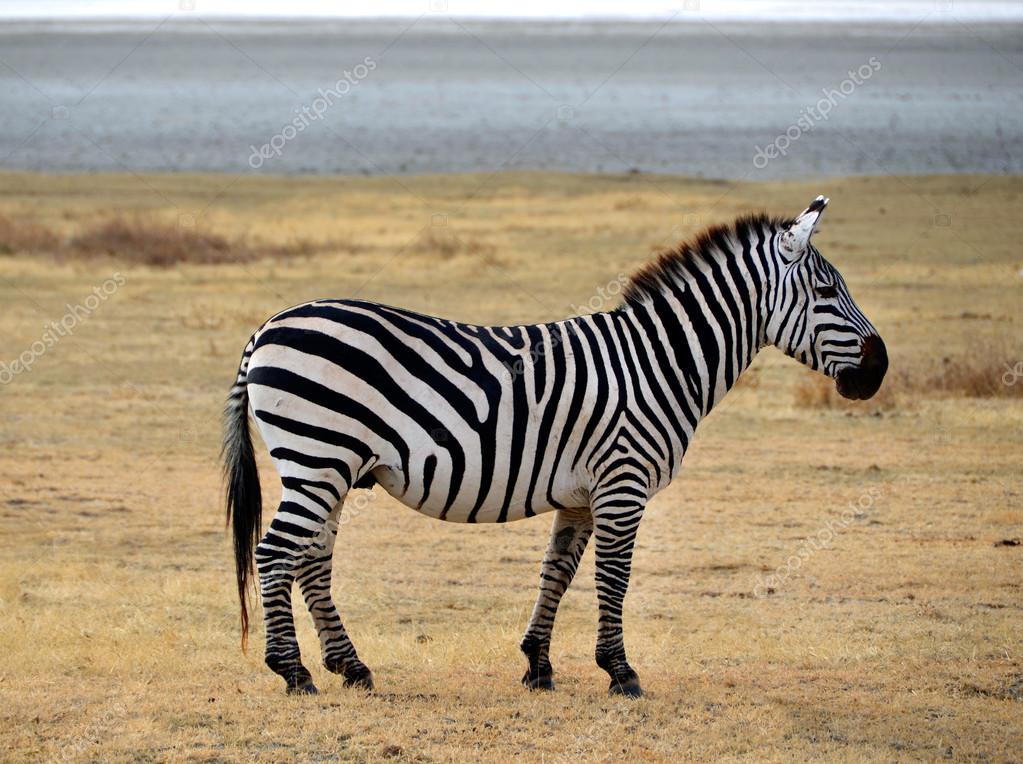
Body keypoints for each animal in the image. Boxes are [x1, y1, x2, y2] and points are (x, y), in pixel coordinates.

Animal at [222, 196, 887, 697]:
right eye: (827, 291)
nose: (879, 369)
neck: (659, 363)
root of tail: (267, 327)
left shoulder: (581, 495)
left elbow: (557, 573)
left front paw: (537, 664)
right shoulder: (624, 482)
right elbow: (613, 579)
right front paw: (620, 672)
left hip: (329, 466)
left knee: (312, 558)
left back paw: (351, 667)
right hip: (319, 458)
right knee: (276, 553)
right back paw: (295, 672)